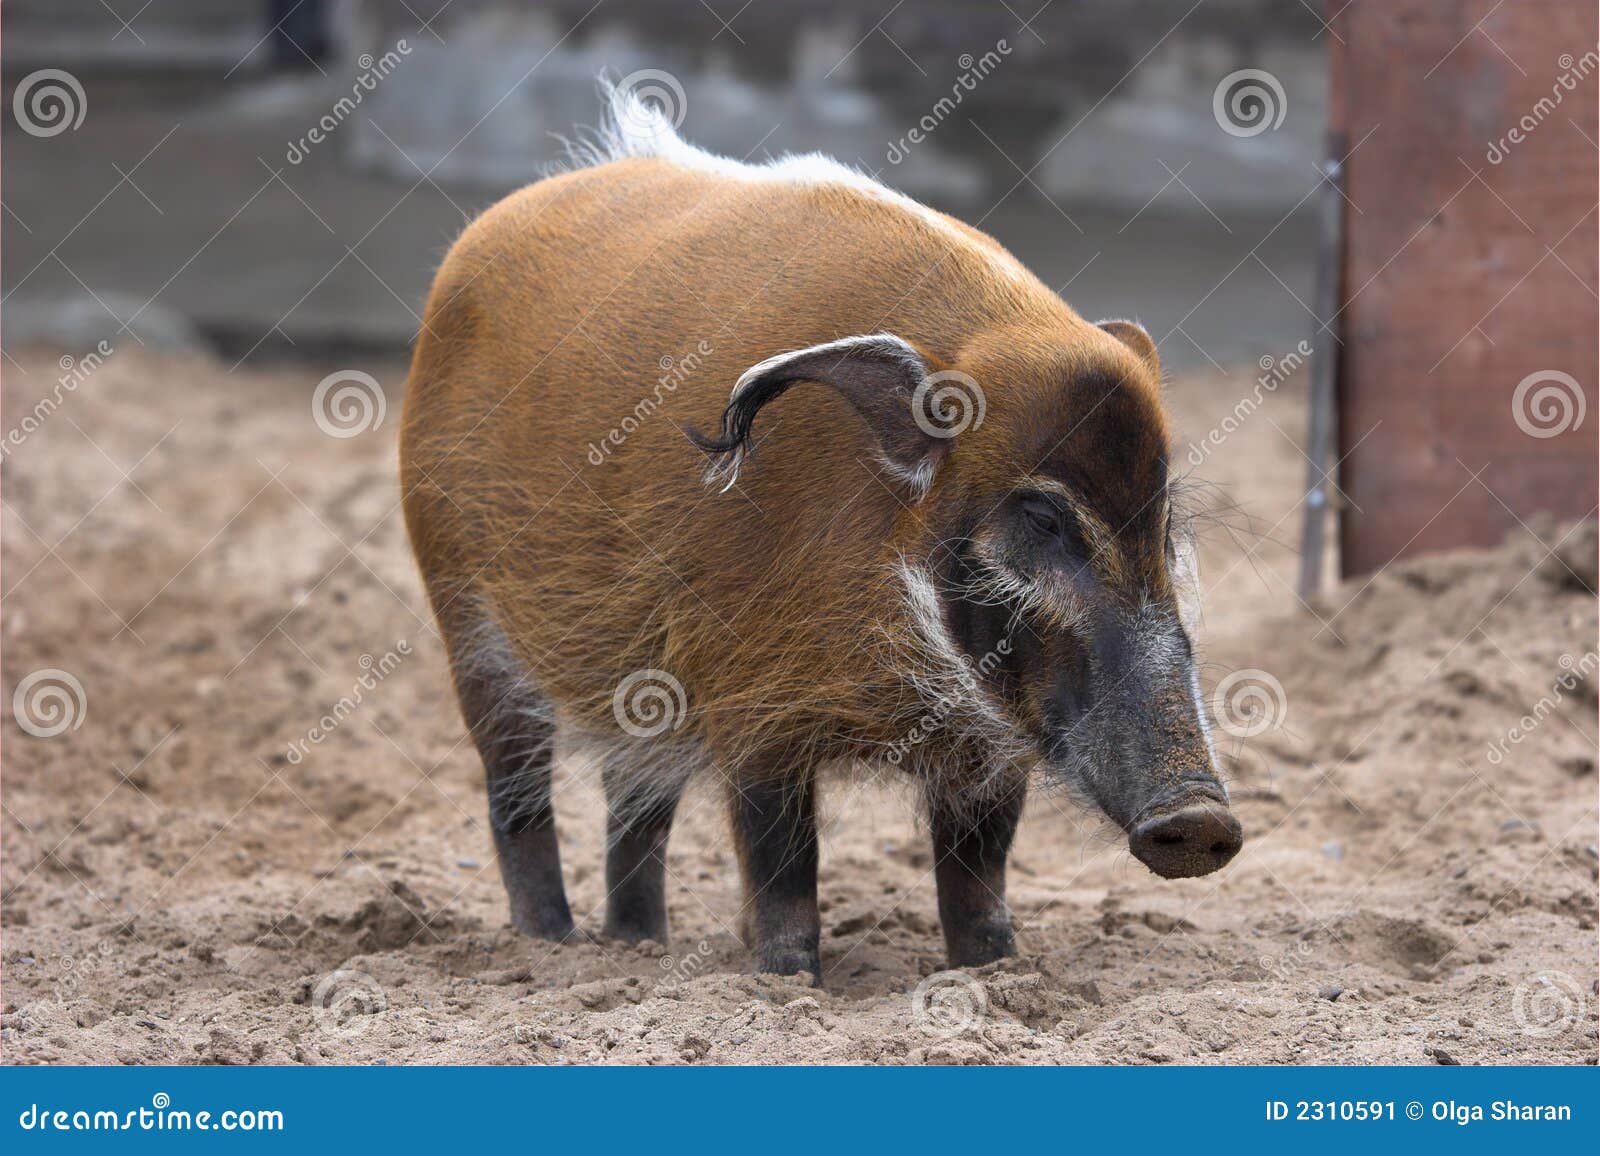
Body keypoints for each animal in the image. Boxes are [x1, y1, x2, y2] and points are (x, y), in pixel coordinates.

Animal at [399, 87, 1242, 982]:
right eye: (1043, 517)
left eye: (1163, 519)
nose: (1202, 820)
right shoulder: (752, 702)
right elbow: (780, 861)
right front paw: (787, 977)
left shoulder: (988, 743)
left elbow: (978, 869)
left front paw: (992, 966)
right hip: (466, 620)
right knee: (517, 790)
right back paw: (550, 942)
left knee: (637, 805)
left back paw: (636, 944)